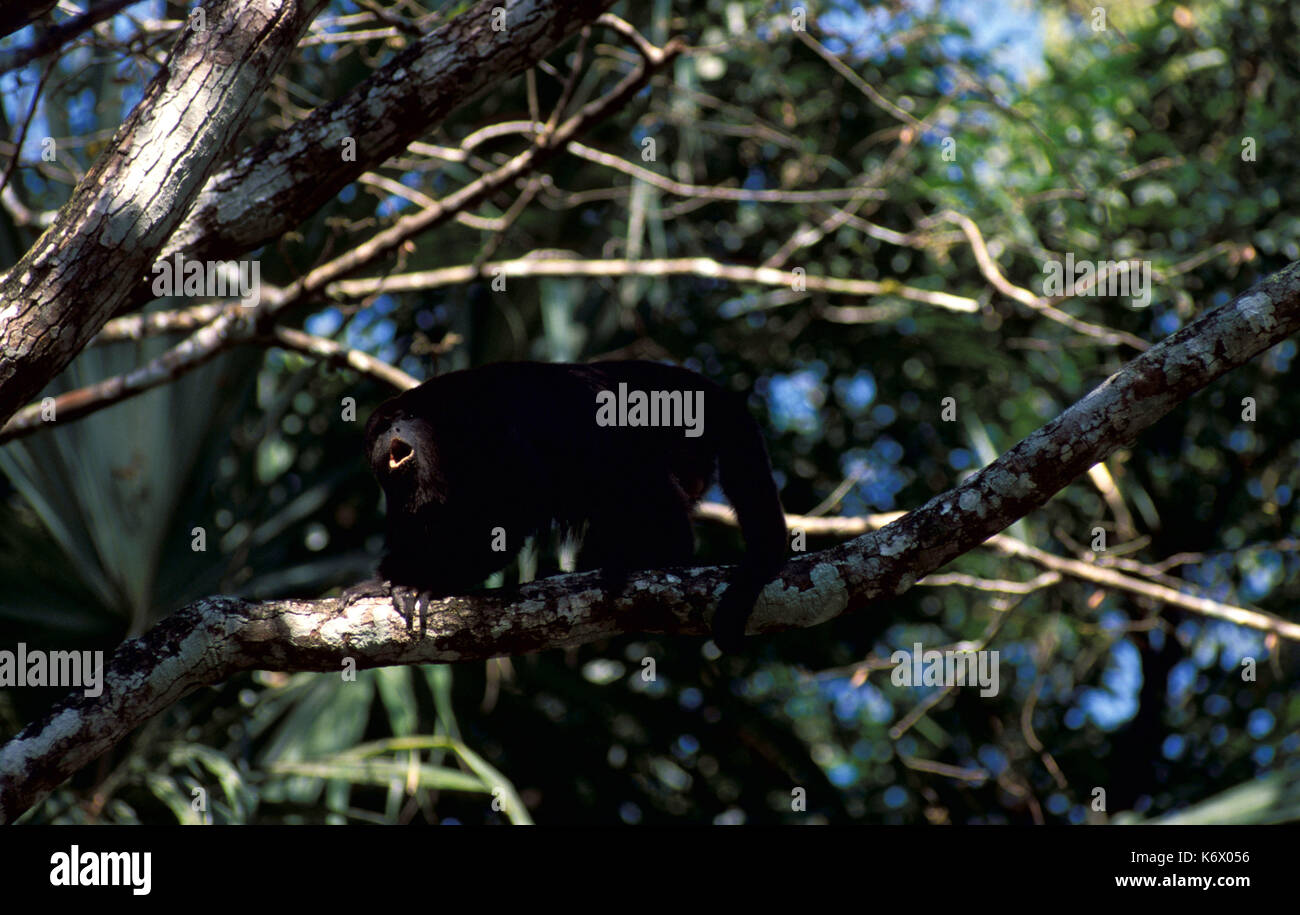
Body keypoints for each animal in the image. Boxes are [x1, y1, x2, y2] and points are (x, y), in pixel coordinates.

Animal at [340, 360, 787, 652]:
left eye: (407, 417)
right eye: (382, 428)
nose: (395, 430)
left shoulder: (477, 429)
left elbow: (515, 504)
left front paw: (427, 581)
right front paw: (384, 580)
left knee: (624, 470)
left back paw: (661, 551)